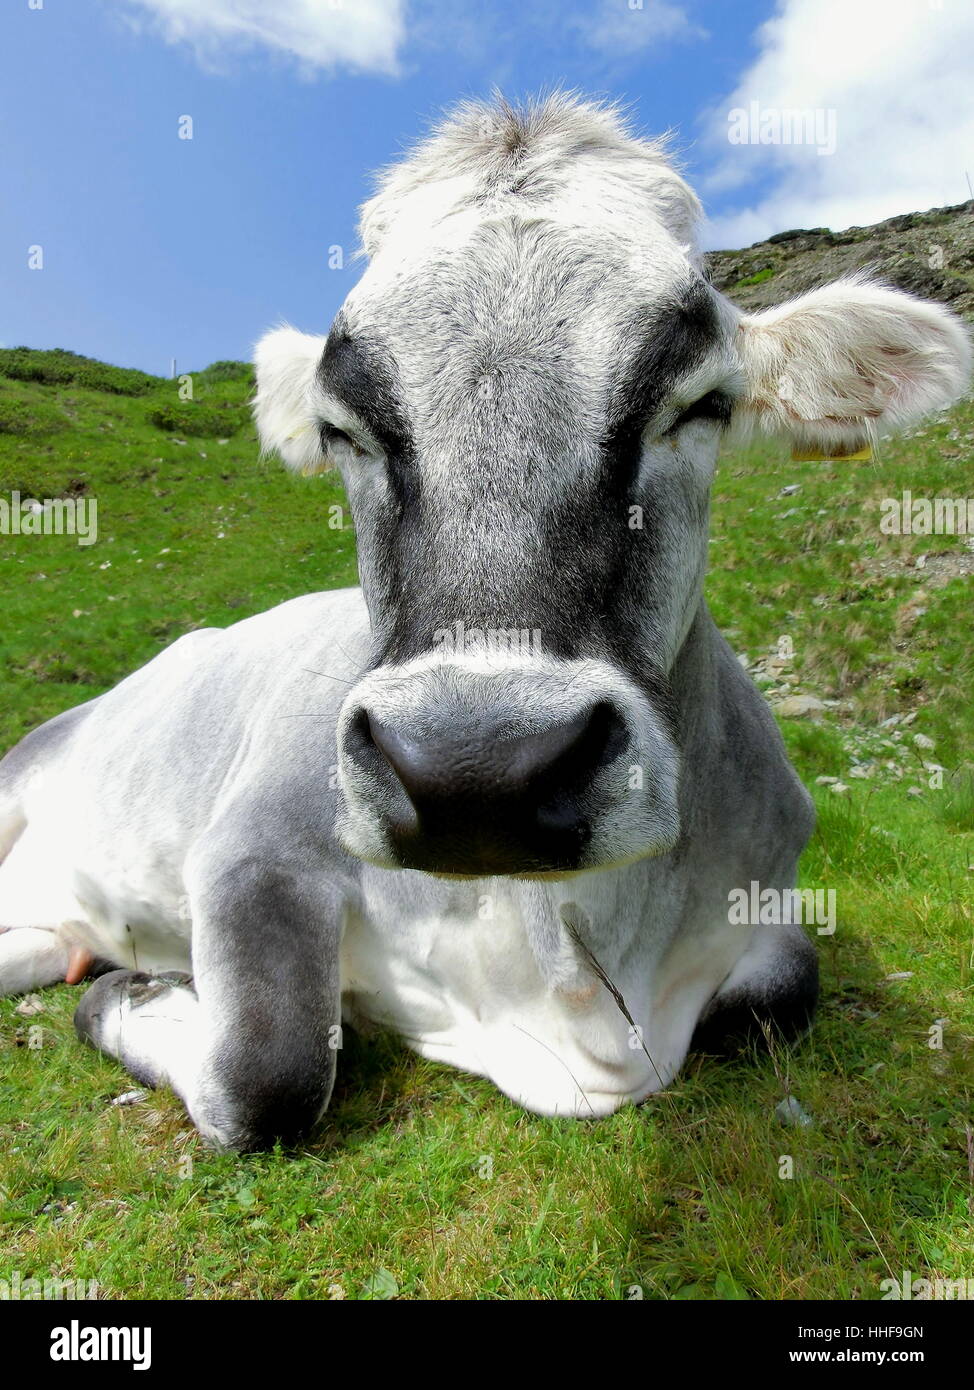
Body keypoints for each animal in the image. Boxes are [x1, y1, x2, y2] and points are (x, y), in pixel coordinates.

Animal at [0, 95, 969, 1150]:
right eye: (342, 429)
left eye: (702, 403)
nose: (477, 772)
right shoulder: (254, 845)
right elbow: (266, 1074)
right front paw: (132, 994)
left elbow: (778, 999)